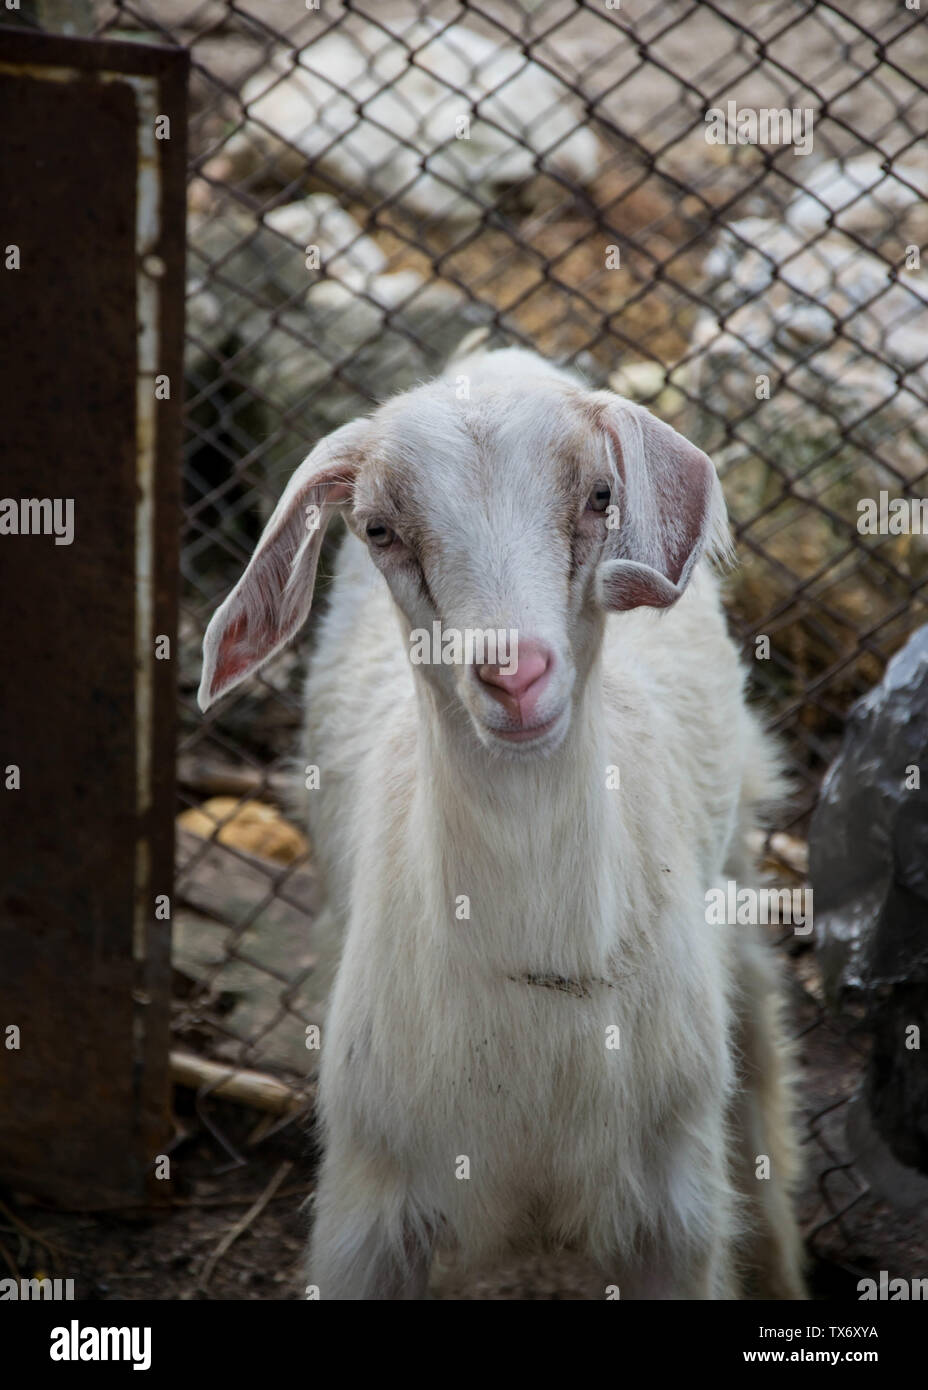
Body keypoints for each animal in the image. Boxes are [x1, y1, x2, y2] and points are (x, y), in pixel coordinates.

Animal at [199, 347, 806, 1300]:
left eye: (600, 496)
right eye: (378, 529)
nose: (514, 673)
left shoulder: (671, 1217)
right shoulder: (368, 1211)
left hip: (740, 846)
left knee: (762, 1035)